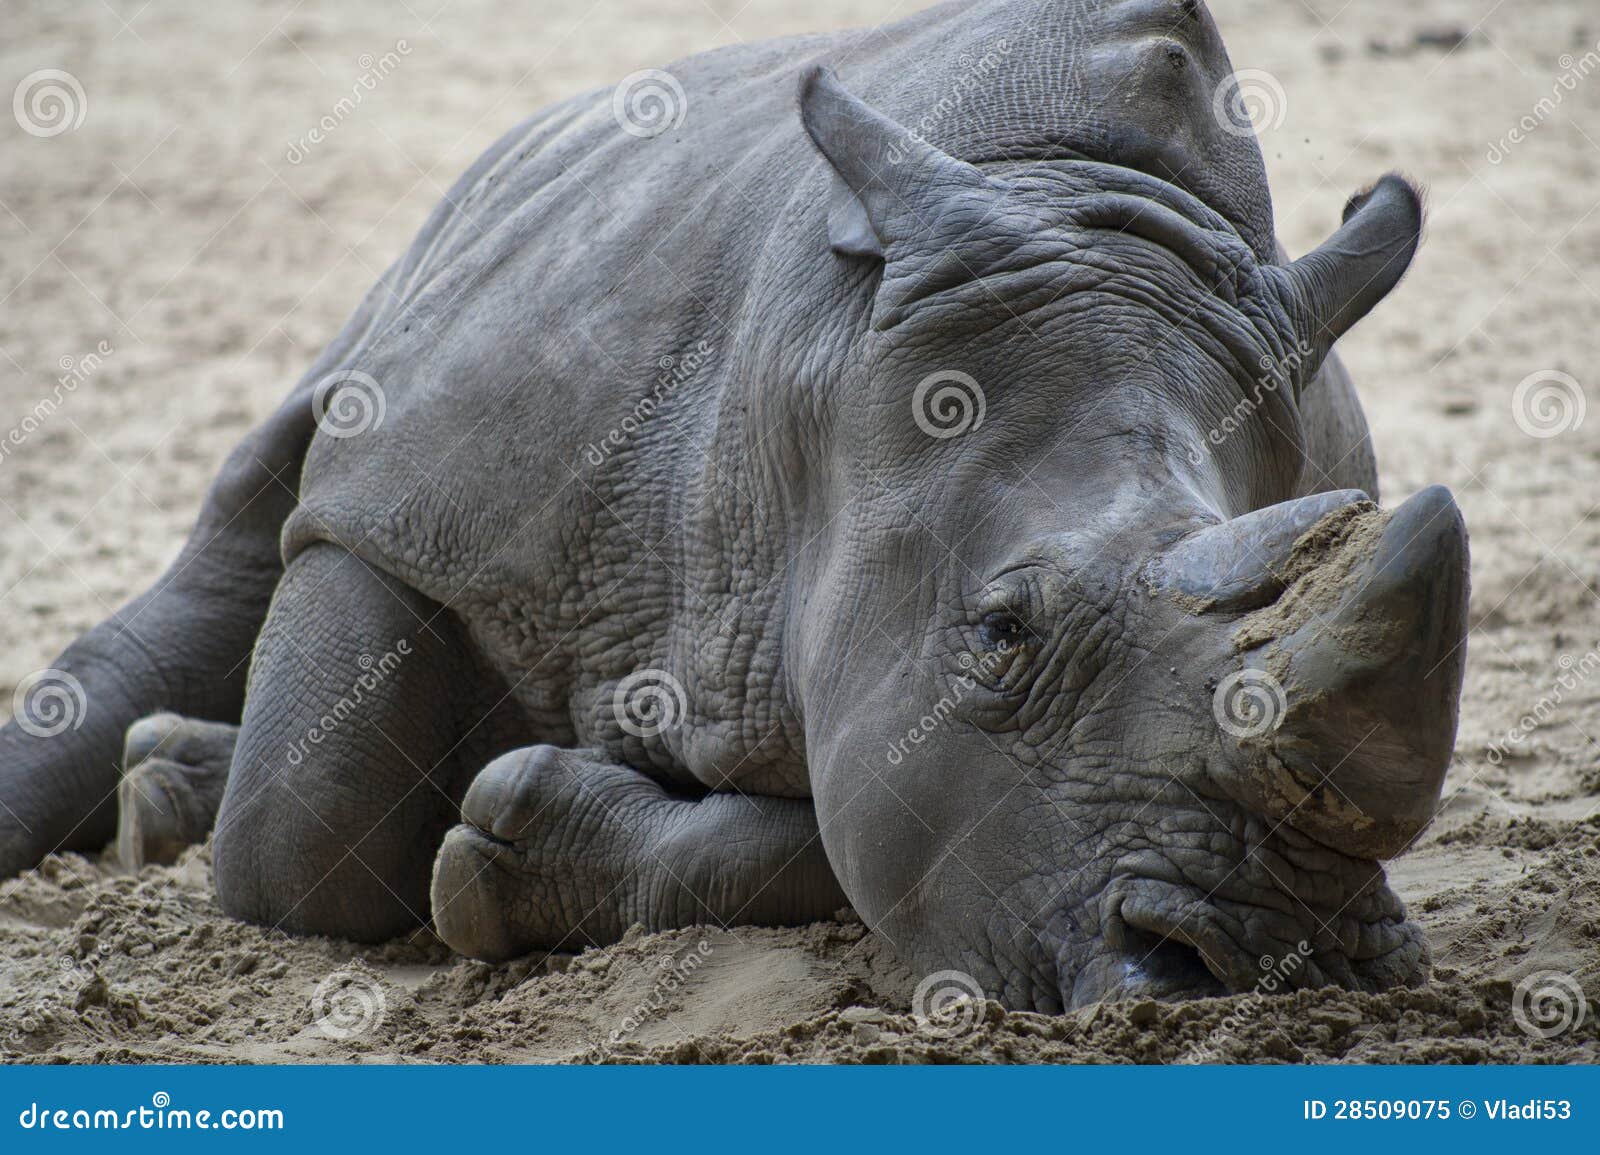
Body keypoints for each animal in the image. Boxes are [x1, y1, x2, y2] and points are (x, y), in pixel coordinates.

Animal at [0, 0, 1467, 1012]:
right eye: (999, 634)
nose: (1271, 959)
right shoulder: (409, 505)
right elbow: (307, 840)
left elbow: (858, 831)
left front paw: (517, 837)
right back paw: (158, 794)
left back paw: (173, 781)